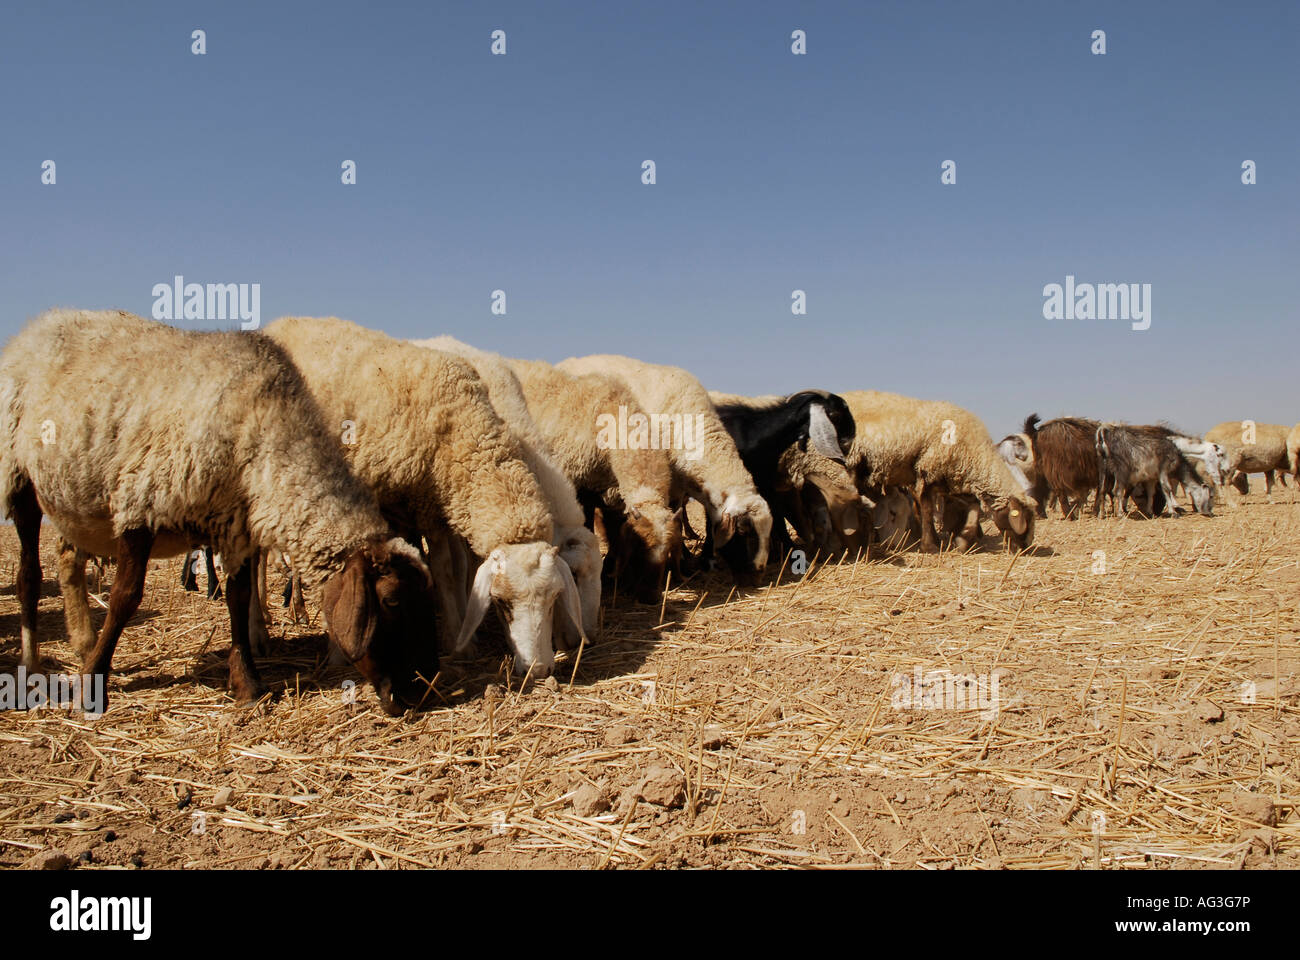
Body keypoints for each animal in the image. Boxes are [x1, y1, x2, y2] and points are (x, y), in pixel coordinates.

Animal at [0, 309, 438, 715]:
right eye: (392, 601)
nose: (414, 695)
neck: (265, 428)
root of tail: (39, 324)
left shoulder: (236, 525)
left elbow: (238, 599)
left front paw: (247, 683)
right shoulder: (142, 503)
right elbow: (126, 597)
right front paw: (94, 680)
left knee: (61, 561)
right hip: (18, 477)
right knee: (28, 576)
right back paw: (32, 664)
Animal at [507, 358, 680, 603]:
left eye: (667, 553)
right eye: (638, 551)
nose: (650, 598)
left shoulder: (613, 497)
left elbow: (615, 536)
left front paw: (612, 575)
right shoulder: (581, 491)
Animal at [841, 391, 1036, 553]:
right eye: (1024, 519)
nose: (1024, 549)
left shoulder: (953, 479)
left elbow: (973, 507)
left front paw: (963, 539)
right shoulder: (929, 471)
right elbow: (927, 510)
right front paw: (930, 546)